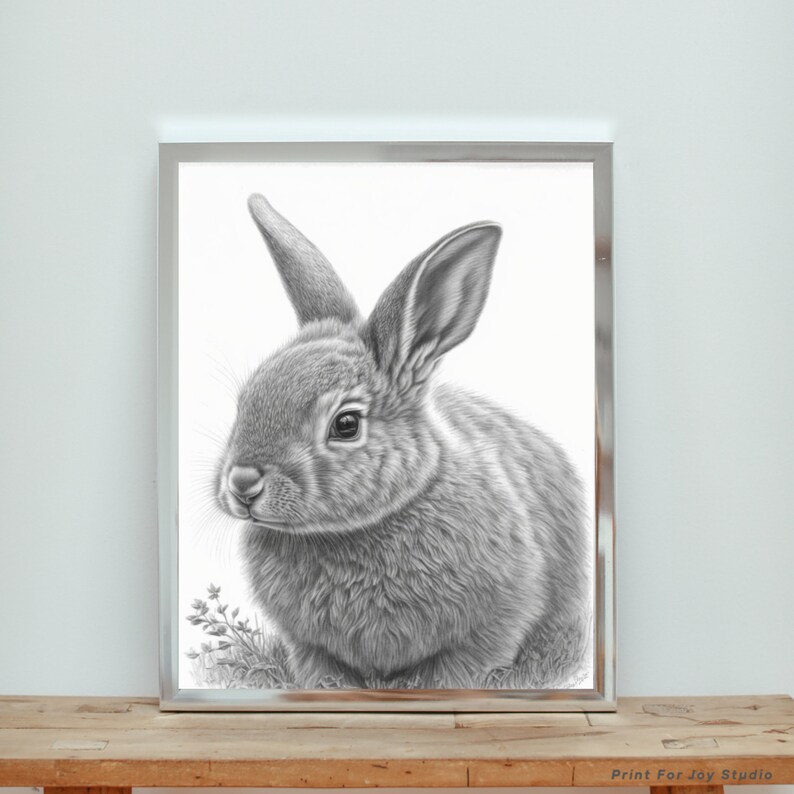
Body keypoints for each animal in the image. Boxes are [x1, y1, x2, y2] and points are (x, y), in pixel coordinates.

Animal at [214, 192, 592, 690]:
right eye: (244, 401)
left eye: (346, 424)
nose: (241, 484)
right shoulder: (308, 646)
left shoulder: (500, 618)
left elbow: (459, 668)